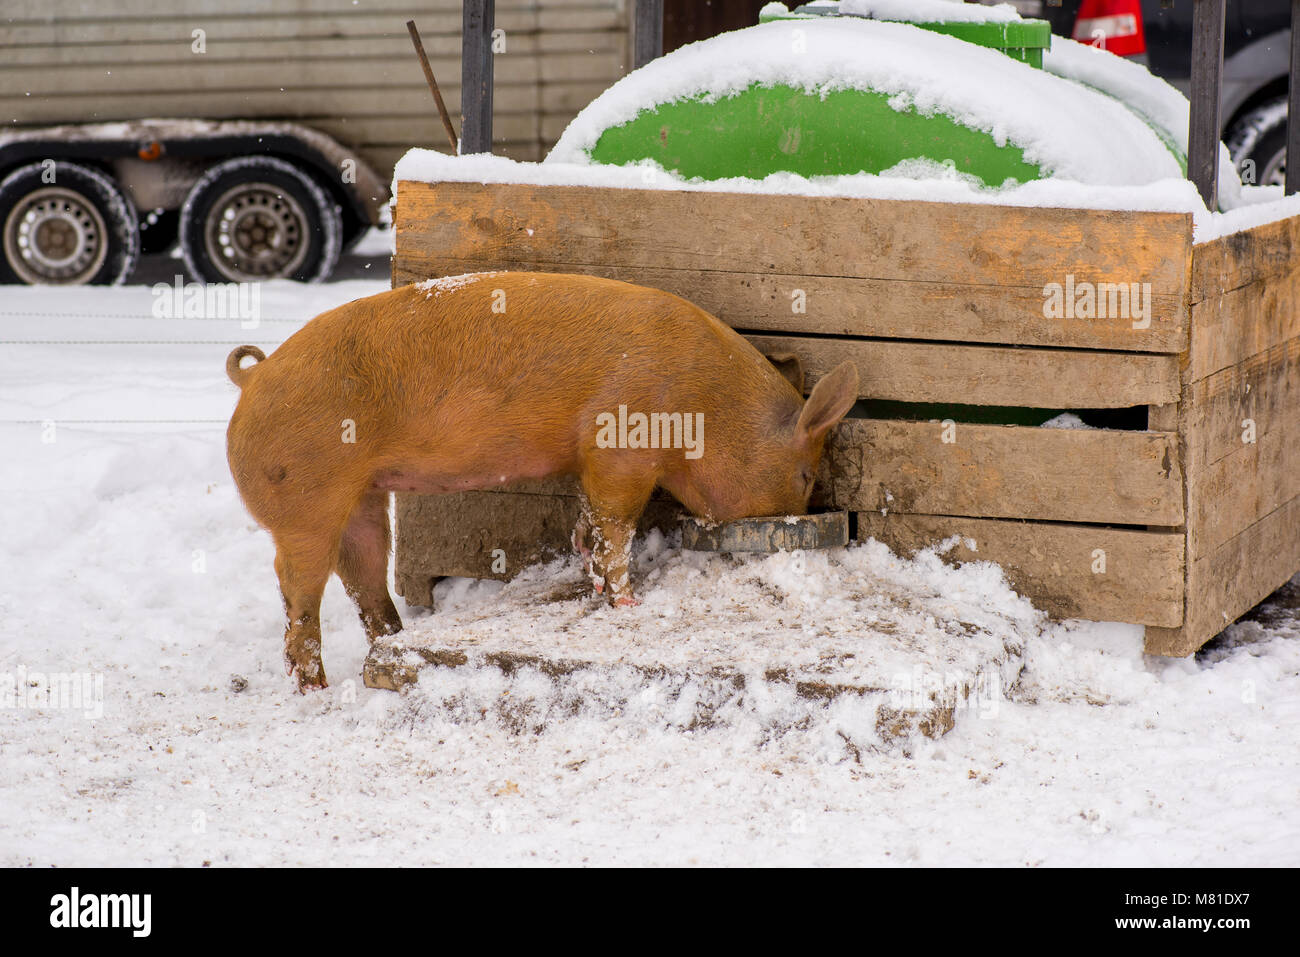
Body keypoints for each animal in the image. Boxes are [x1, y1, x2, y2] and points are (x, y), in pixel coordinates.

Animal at [225, 272, 858, 691]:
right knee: (297, 584)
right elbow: (616, 525)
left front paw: (588, 569)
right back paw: (315, 687)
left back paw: (391, 642)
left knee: (362, 576)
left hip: (363, 495)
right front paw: (625, 603)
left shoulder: (587, 462)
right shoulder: (620, 446)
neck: (705, 403)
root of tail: (252, 379)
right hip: (305, 495)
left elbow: (588, 519)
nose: (807, 513)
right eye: (804, 475)